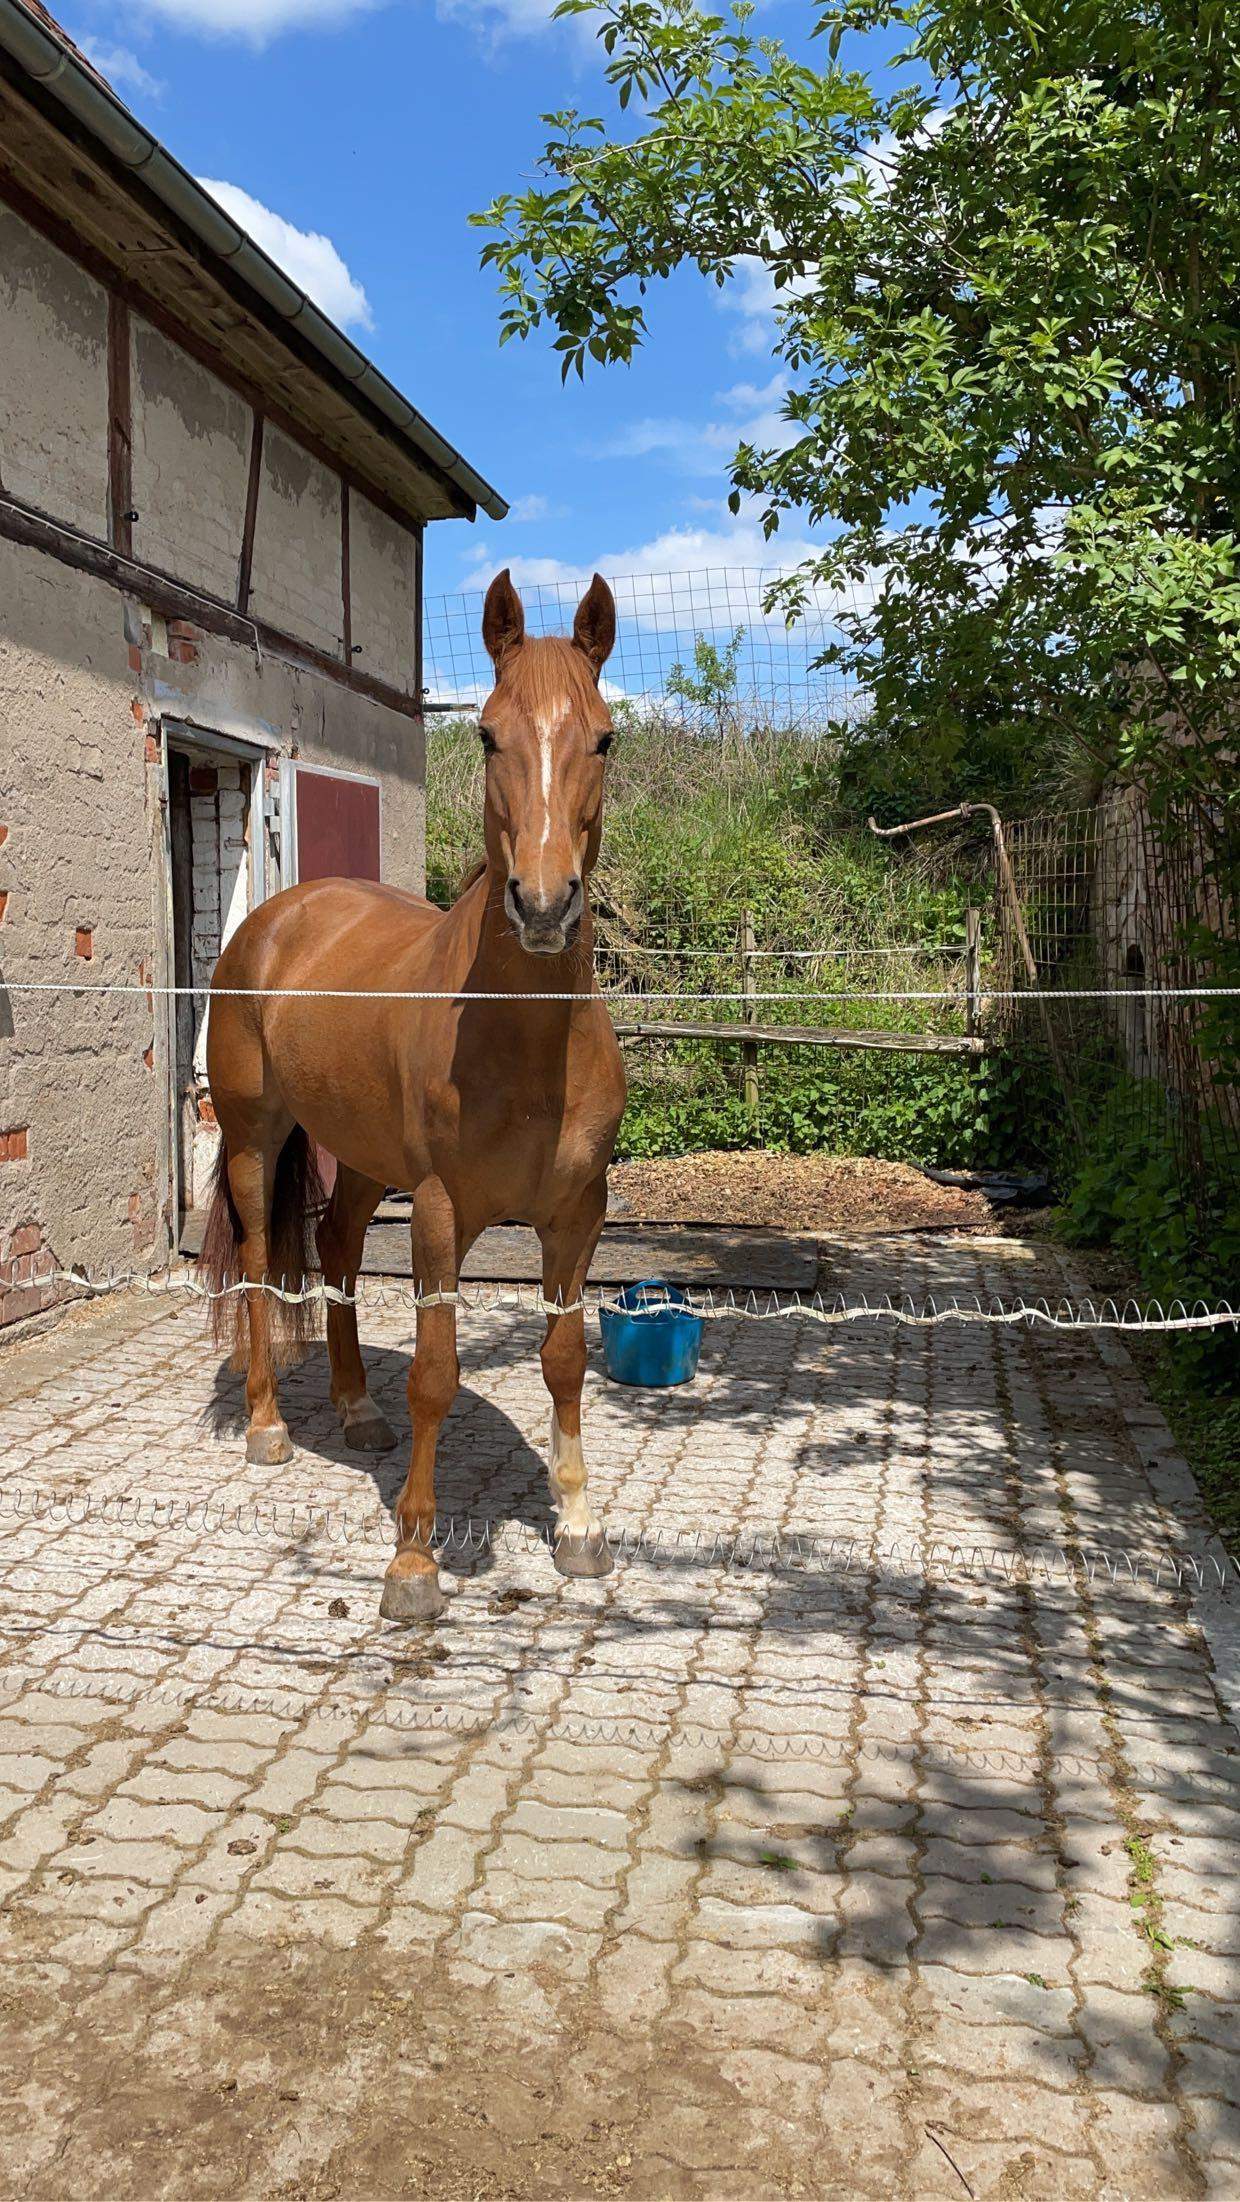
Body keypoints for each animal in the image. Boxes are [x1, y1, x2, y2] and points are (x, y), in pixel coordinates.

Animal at [200, 570, 627, 1622]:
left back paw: (356, 1411)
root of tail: (277, 918)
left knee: (343, 1253)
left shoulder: (578, 1215)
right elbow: (436, 1376)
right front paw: (413, 1562)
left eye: (603, 738)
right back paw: (268, 1423)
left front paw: (579, 1527)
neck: (523, 1043)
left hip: (361, 1158)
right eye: (487, 736)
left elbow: (565, 1362)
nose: (544, 905)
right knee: (265, 1260)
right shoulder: (438, 1212)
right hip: (254, 1138)